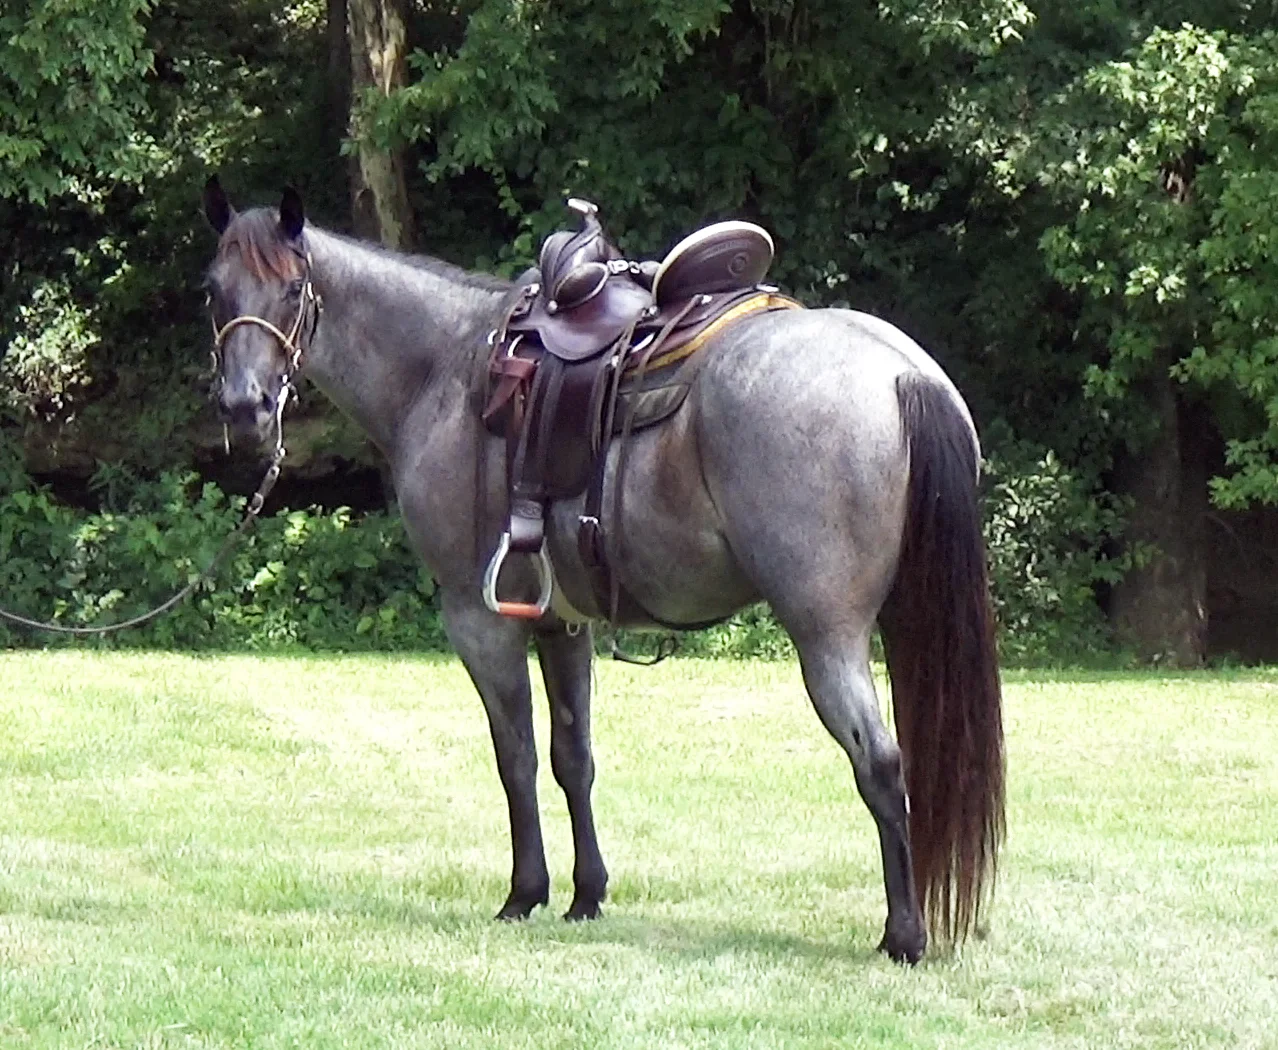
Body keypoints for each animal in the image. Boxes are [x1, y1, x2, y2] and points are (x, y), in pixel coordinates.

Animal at [199, 181, 1004, 964]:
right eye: (213, 289)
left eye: (293, 288)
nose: (244, 409)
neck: (446, 370)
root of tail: (900, 372)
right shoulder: (562, 623)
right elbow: (572, 756)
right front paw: (586, 895)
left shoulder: (478, 619)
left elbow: (516, 758)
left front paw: (524, 894)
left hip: (826, 636)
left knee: (882, 764)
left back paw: (903, 936)